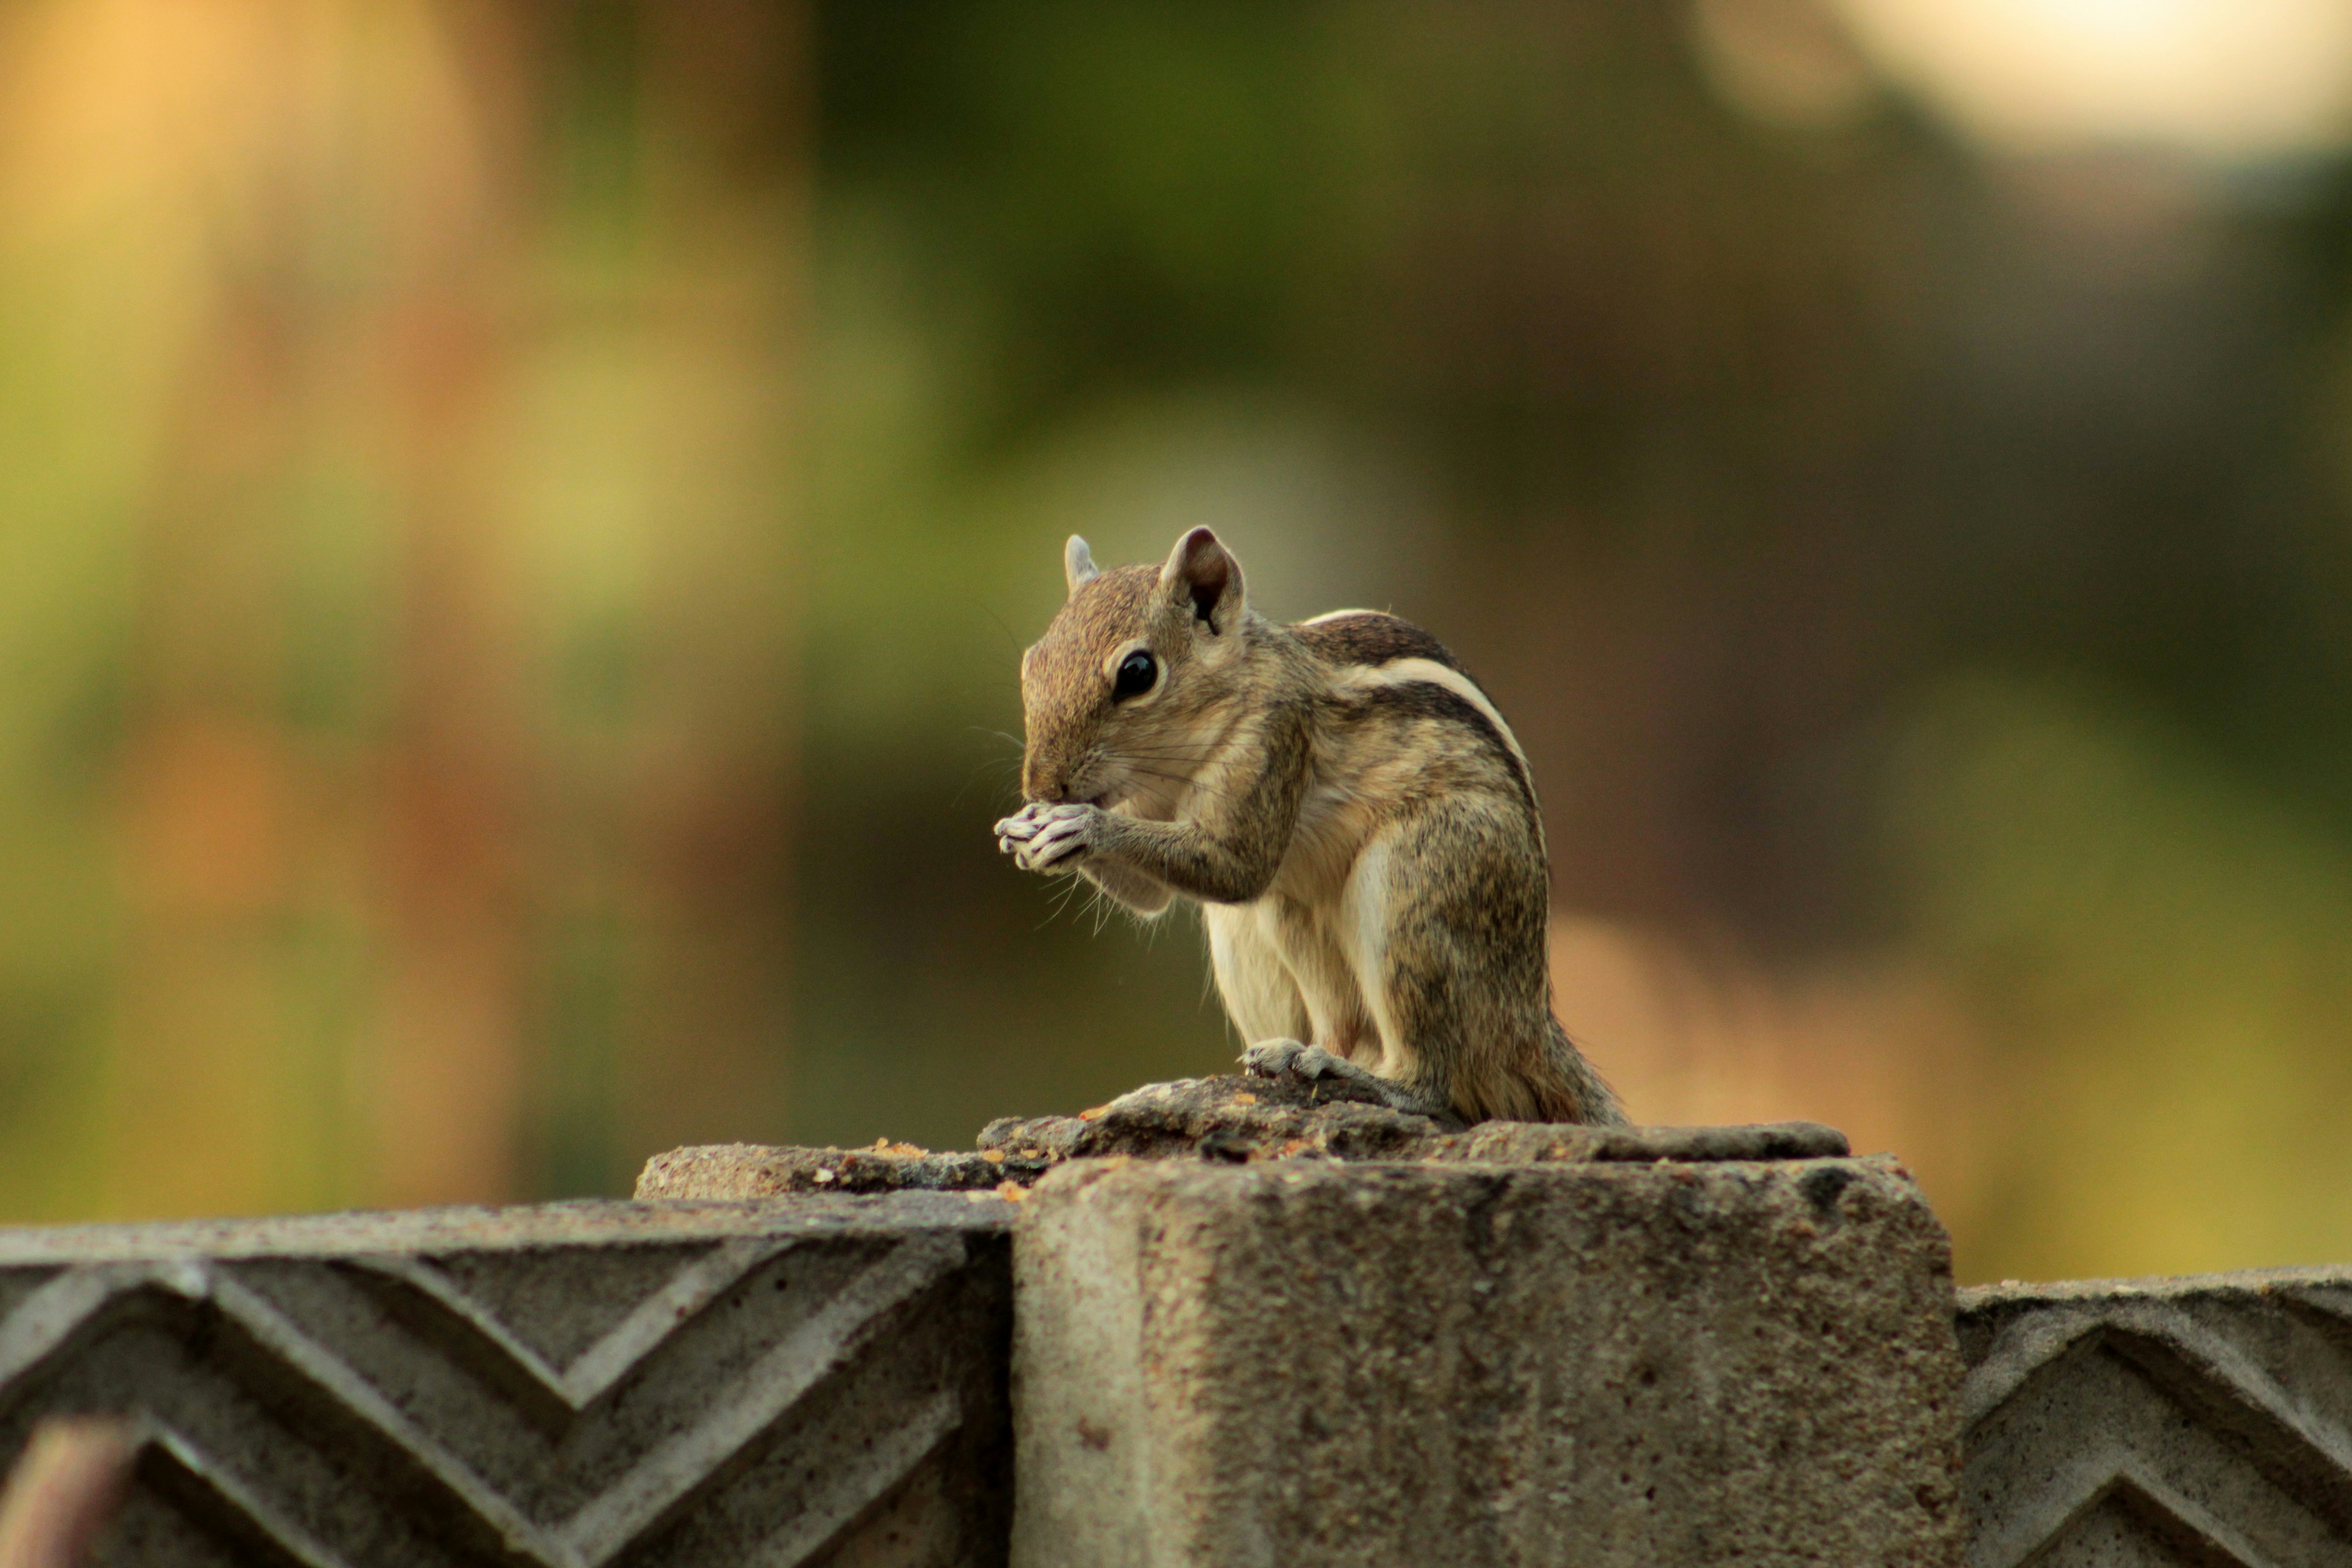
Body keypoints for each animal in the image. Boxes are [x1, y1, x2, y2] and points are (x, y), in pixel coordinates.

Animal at [994, 527, 1625, 1126]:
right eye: (1032, 661)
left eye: (1137, 673)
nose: (1042, 786)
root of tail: (1530, 1019)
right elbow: (1152, 898)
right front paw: (1023, 832)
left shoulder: (1275, 741)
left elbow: (1238, 867)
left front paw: (1080, 826)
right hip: (1263, 933)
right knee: (1338, 1024)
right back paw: (1293, 1056)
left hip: (1417, 885)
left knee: (1429, 1083)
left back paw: (1362, 1077)